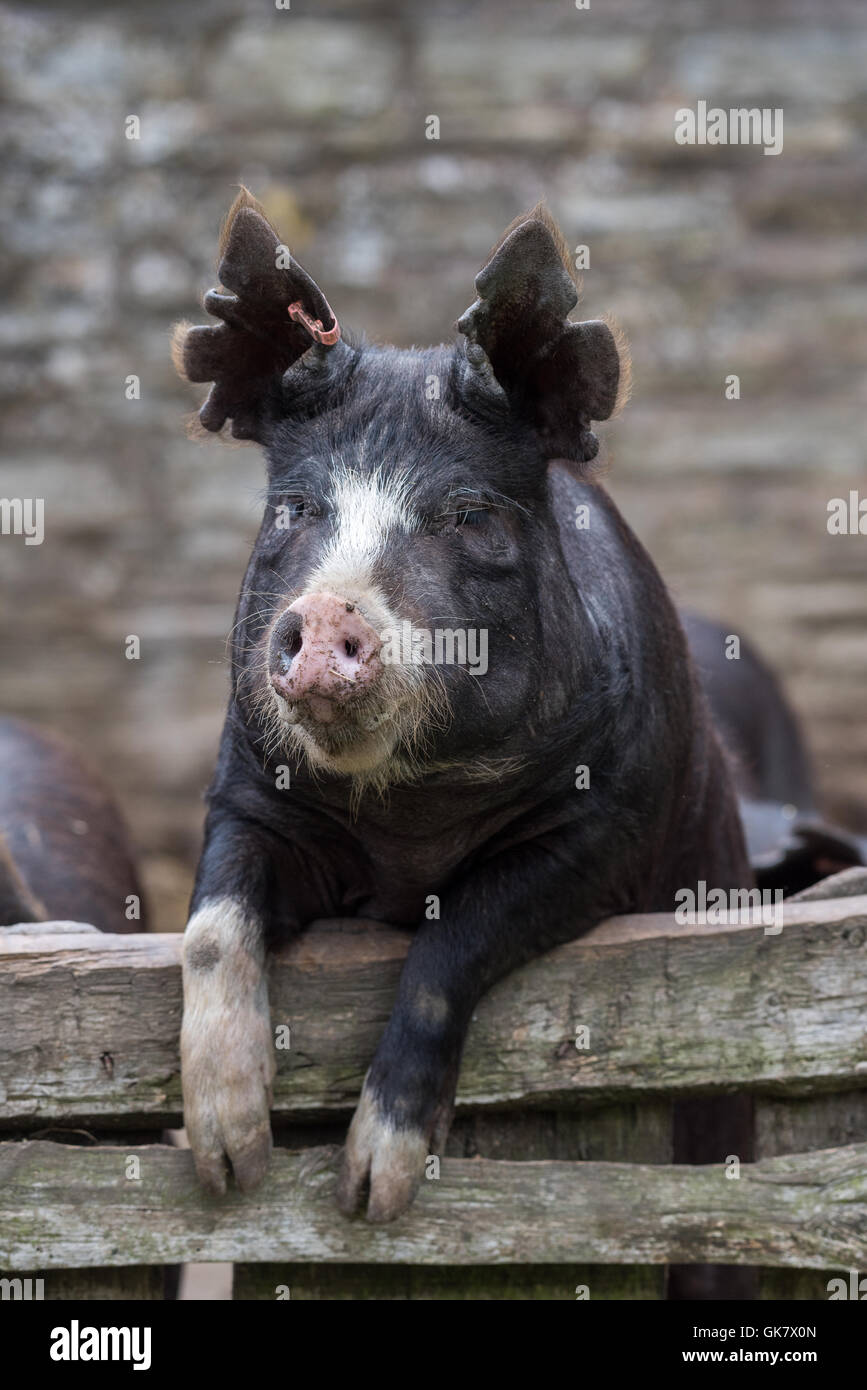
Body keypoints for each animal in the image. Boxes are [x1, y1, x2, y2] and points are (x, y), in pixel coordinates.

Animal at [173, 189, 751, 1223]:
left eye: (469, 515)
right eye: (295, 510)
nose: (328, 611)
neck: (407, 820)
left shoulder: (604, 833)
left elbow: (451, 947)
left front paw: (372, 1195)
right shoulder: (244, 791)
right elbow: (207, 931)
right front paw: (230, 1168)